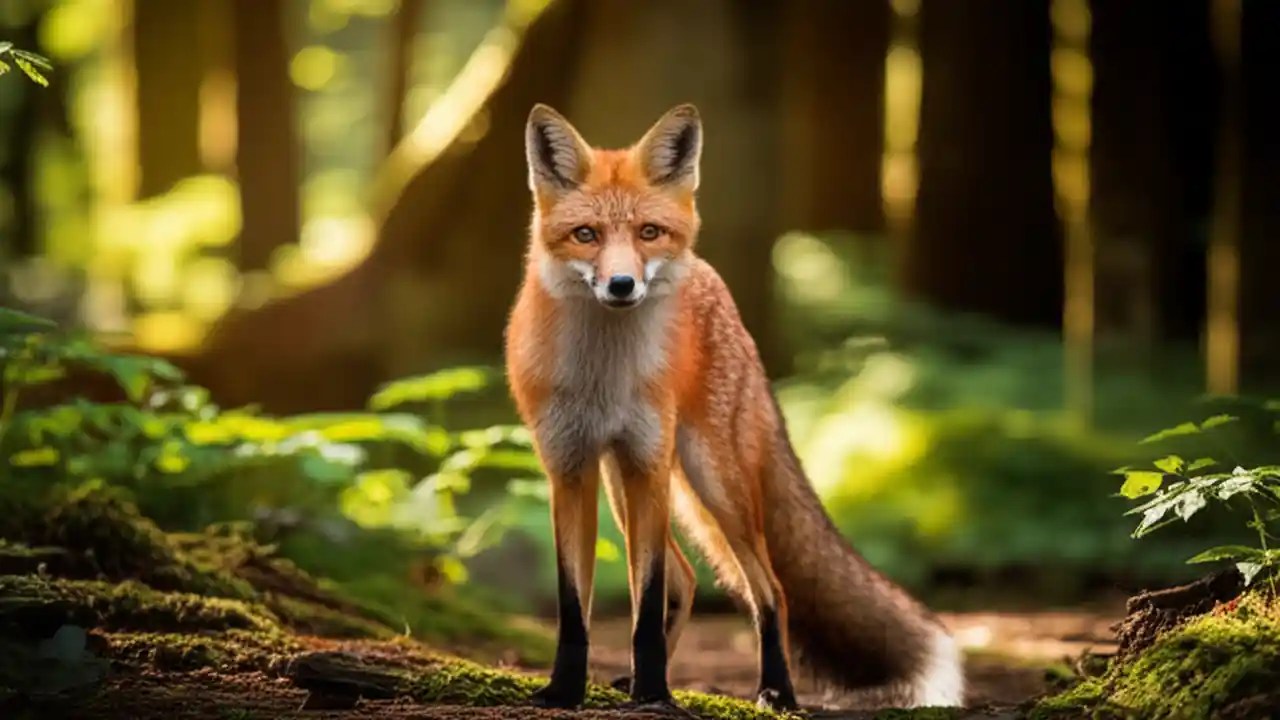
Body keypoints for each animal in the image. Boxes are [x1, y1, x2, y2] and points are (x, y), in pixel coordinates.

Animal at [504, 103, 965, 713]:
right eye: (586, 235)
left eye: (648, 233)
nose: (623, 285)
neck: (603, 376)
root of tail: (708, 274)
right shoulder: (568, 470)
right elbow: (574, 606)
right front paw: (565, 690)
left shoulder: (647, 465)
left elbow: (647, 599)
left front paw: (654, 696)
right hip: (627, 485)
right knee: (687, 580)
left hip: (713, 480)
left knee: (770, 589)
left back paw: (777, 690)